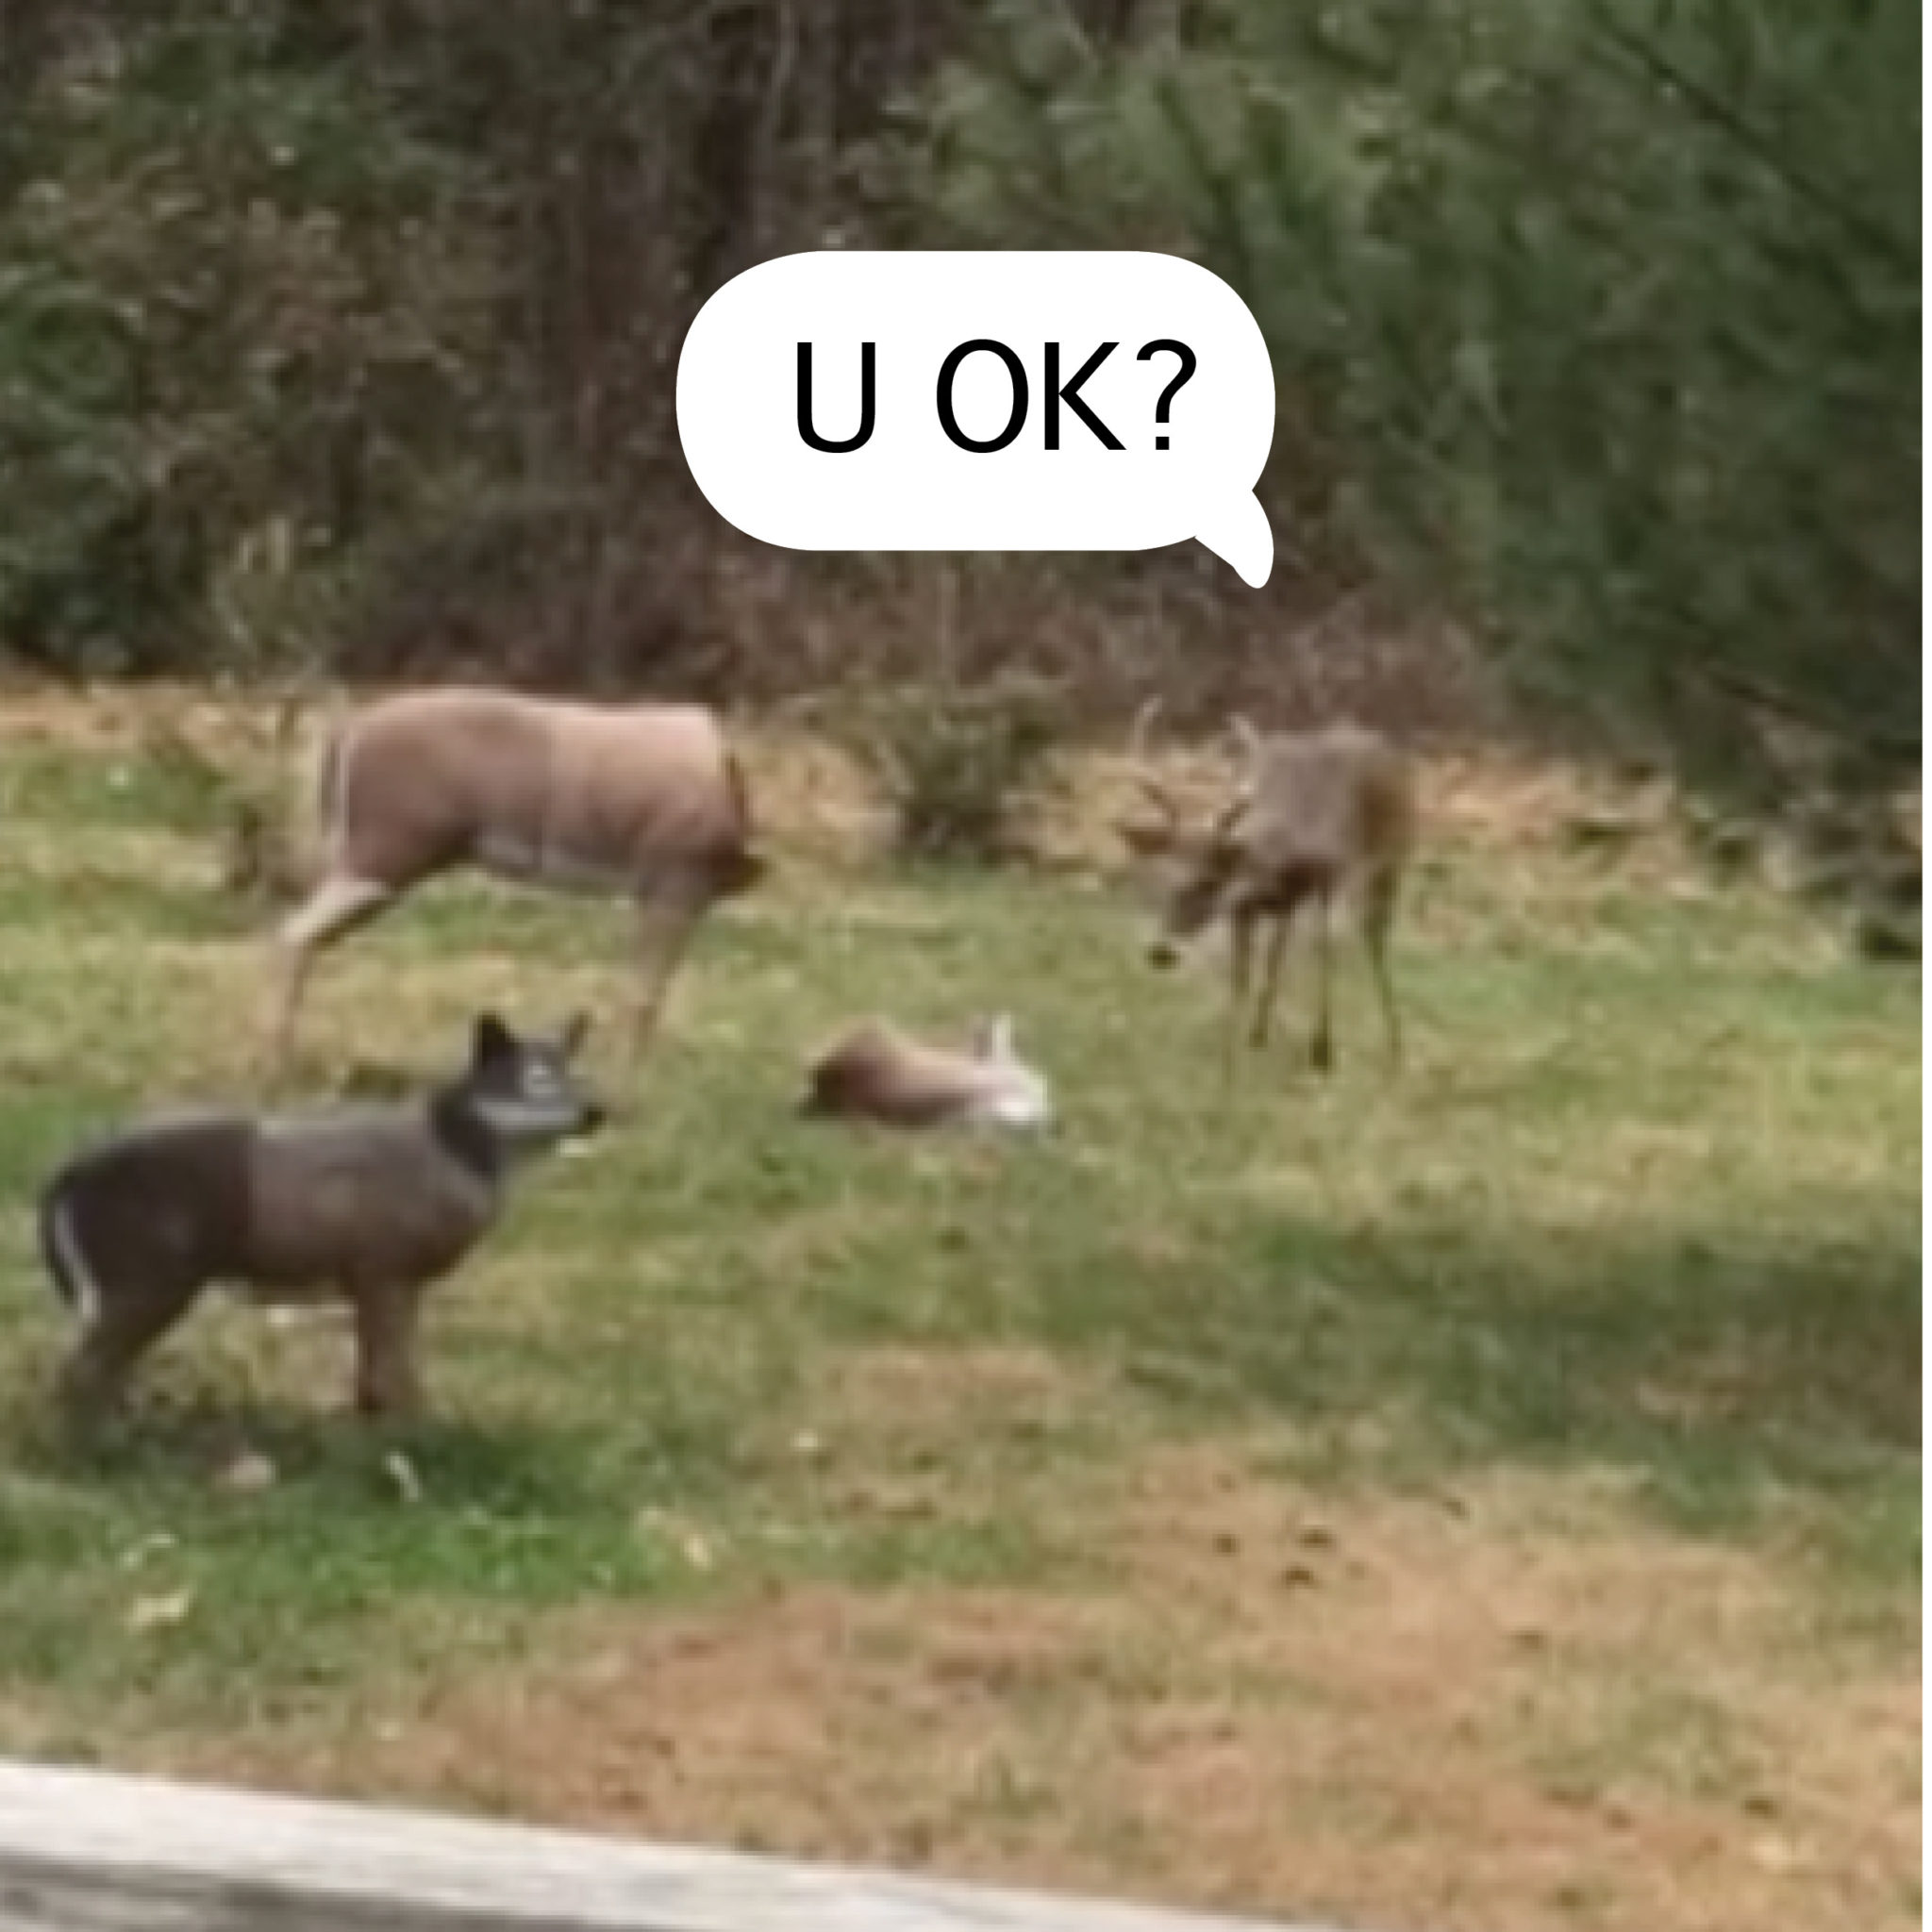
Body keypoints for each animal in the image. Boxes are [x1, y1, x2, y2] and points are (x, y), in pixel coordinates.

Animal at [39, 1013, 604, 1429]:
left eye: (576, 1071)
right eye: (536, 1080)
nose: (596, 1112)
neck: (451, 1151)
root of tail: (69, 1173)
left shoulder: (382, 1281)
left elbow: (373, 1376)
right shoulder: (386, 1270)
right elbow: (394, 1373)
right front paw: (415, 1437)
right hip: (152, 1280)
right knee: (80, 1372)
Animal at [263, 687, 764, 1089]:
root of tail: (353, 727)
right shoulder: (676, 889)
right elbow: (644, 996)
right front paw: (630, 1094)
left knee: (306, 936)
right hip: (383, 863)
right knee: (295, 933)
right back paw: (279, 1070)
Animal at [1117, 702, 1419, 1082]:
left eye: (1210, 880)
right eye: (1158, 876)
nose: (1161, 953)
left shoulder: (1328, 875)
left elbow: (1326, 954)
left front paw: (1323, 1051)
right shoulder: (1245, 907)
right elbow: (1241, 976)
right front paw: (1230, 1060)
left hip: (1392, 859)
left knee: (1374, 941)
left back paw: (1395, 1043)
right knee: (1284, 946)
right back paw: (1259, 1032)